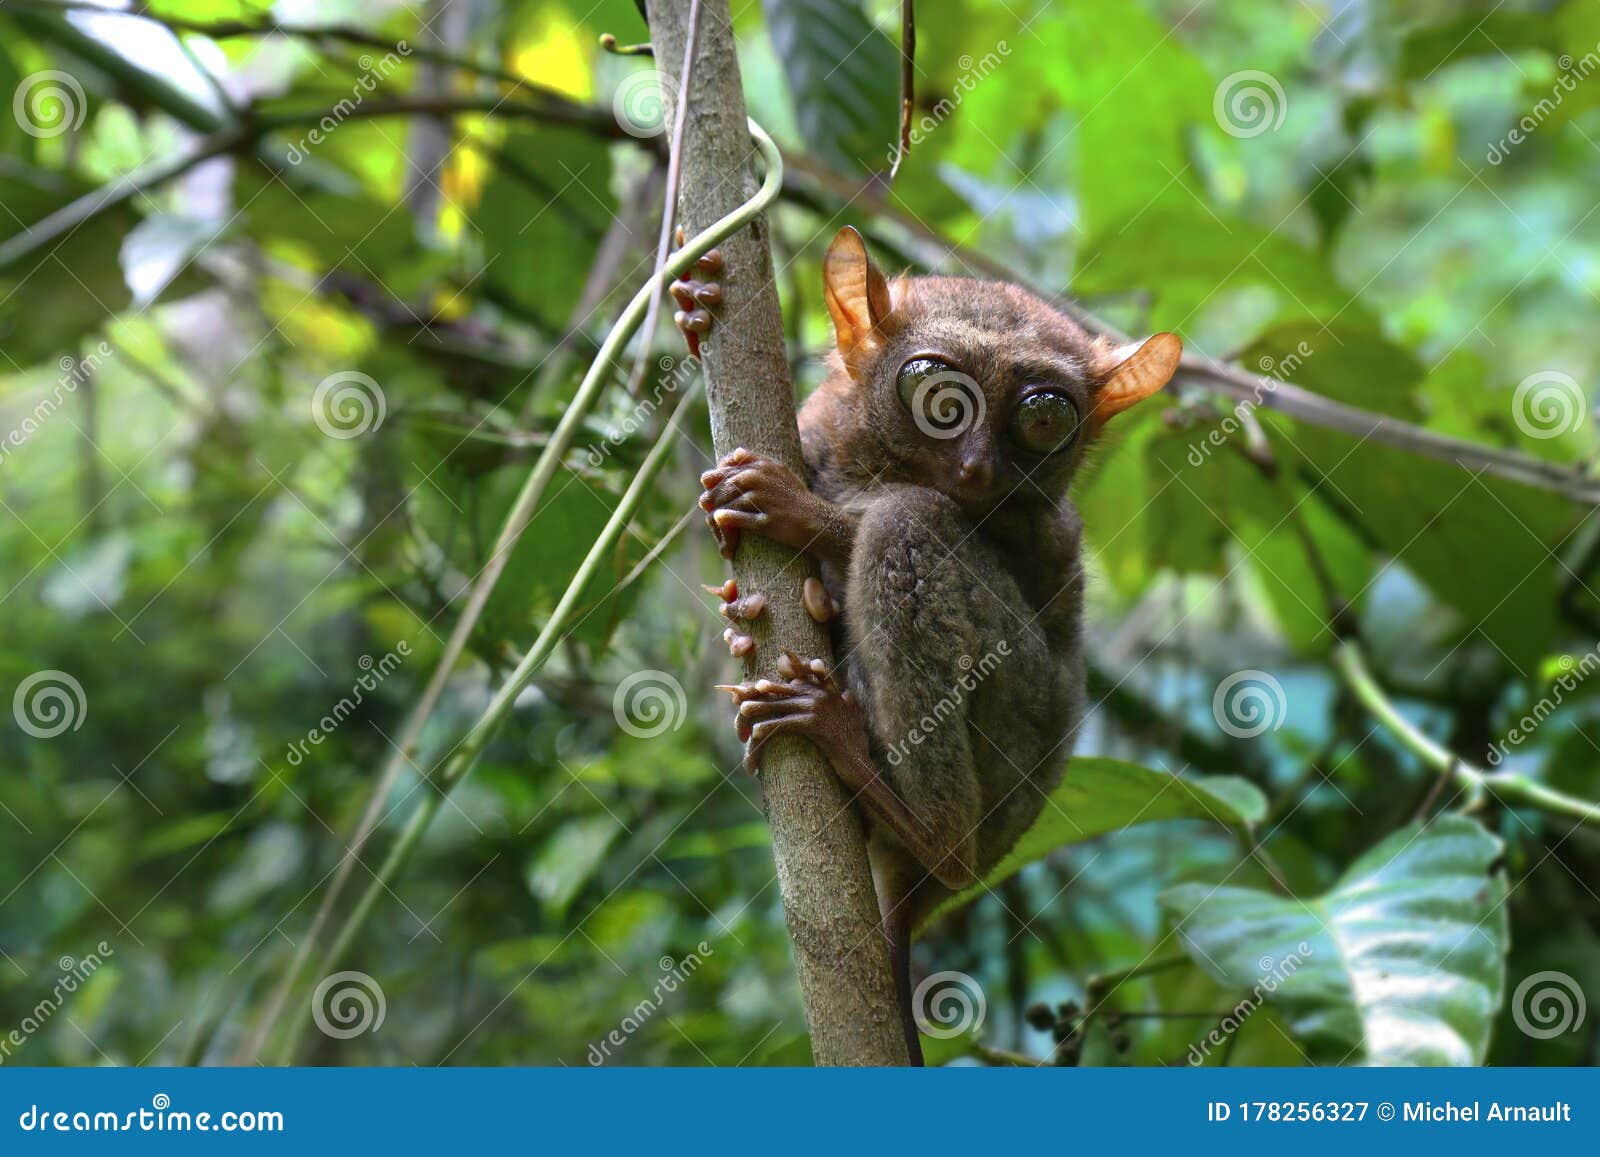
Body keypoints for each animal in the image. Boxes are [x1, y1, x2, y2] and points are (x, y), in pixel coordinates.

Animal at [672, 226, 1181, 1065]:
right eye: (939, 398)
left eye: (1044, 420)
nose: (974, 464)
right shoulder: (819, 421)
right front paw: (695, 298)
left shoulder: (1033, 526)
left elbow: (901, 517)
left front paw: (794, 510)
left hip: (1012, 740)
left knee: (906, 523)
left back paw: (857, 755)